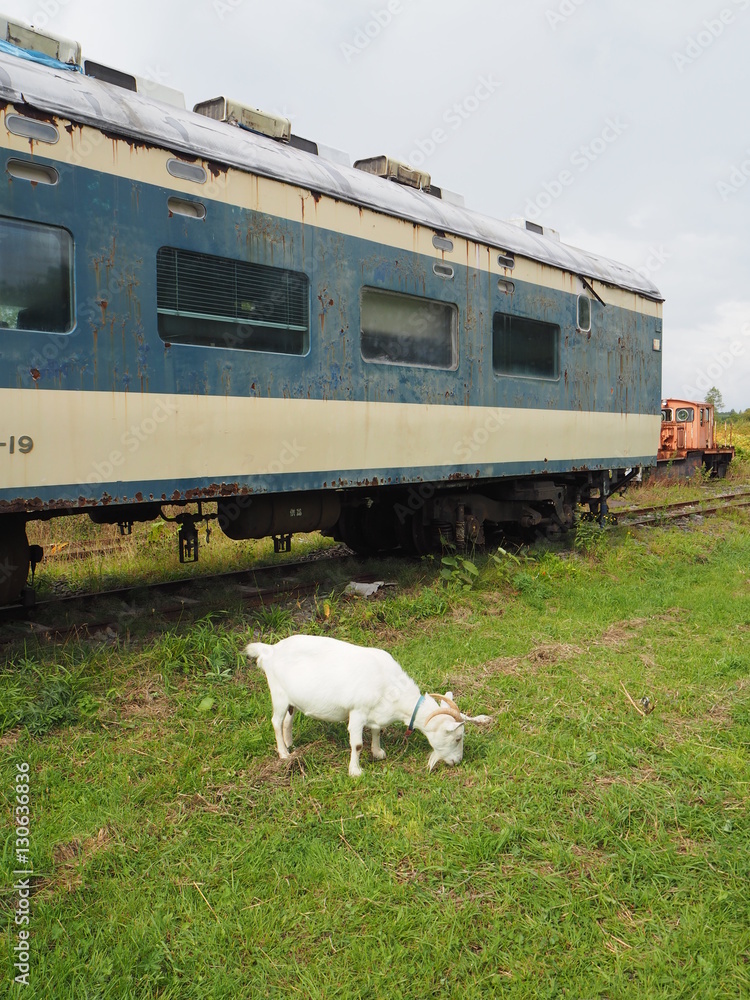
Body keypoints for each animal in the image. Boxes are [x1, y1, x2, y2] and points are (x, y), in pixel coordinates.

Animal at [244, 634, 491, 776]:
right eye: (457, 738)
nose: (457, 761)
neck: (391, 687)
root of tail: (269, 650)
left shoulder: (376, 712)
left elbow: (377, 730)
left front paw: (378, 752)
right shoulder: (357, 712)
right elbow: (356, 744)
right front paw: (355, 771)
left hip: (291, 699)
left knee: (288, 719)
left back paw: (290, 744)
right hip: (278, 694)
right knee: (276, 721)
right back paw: (284, 754)